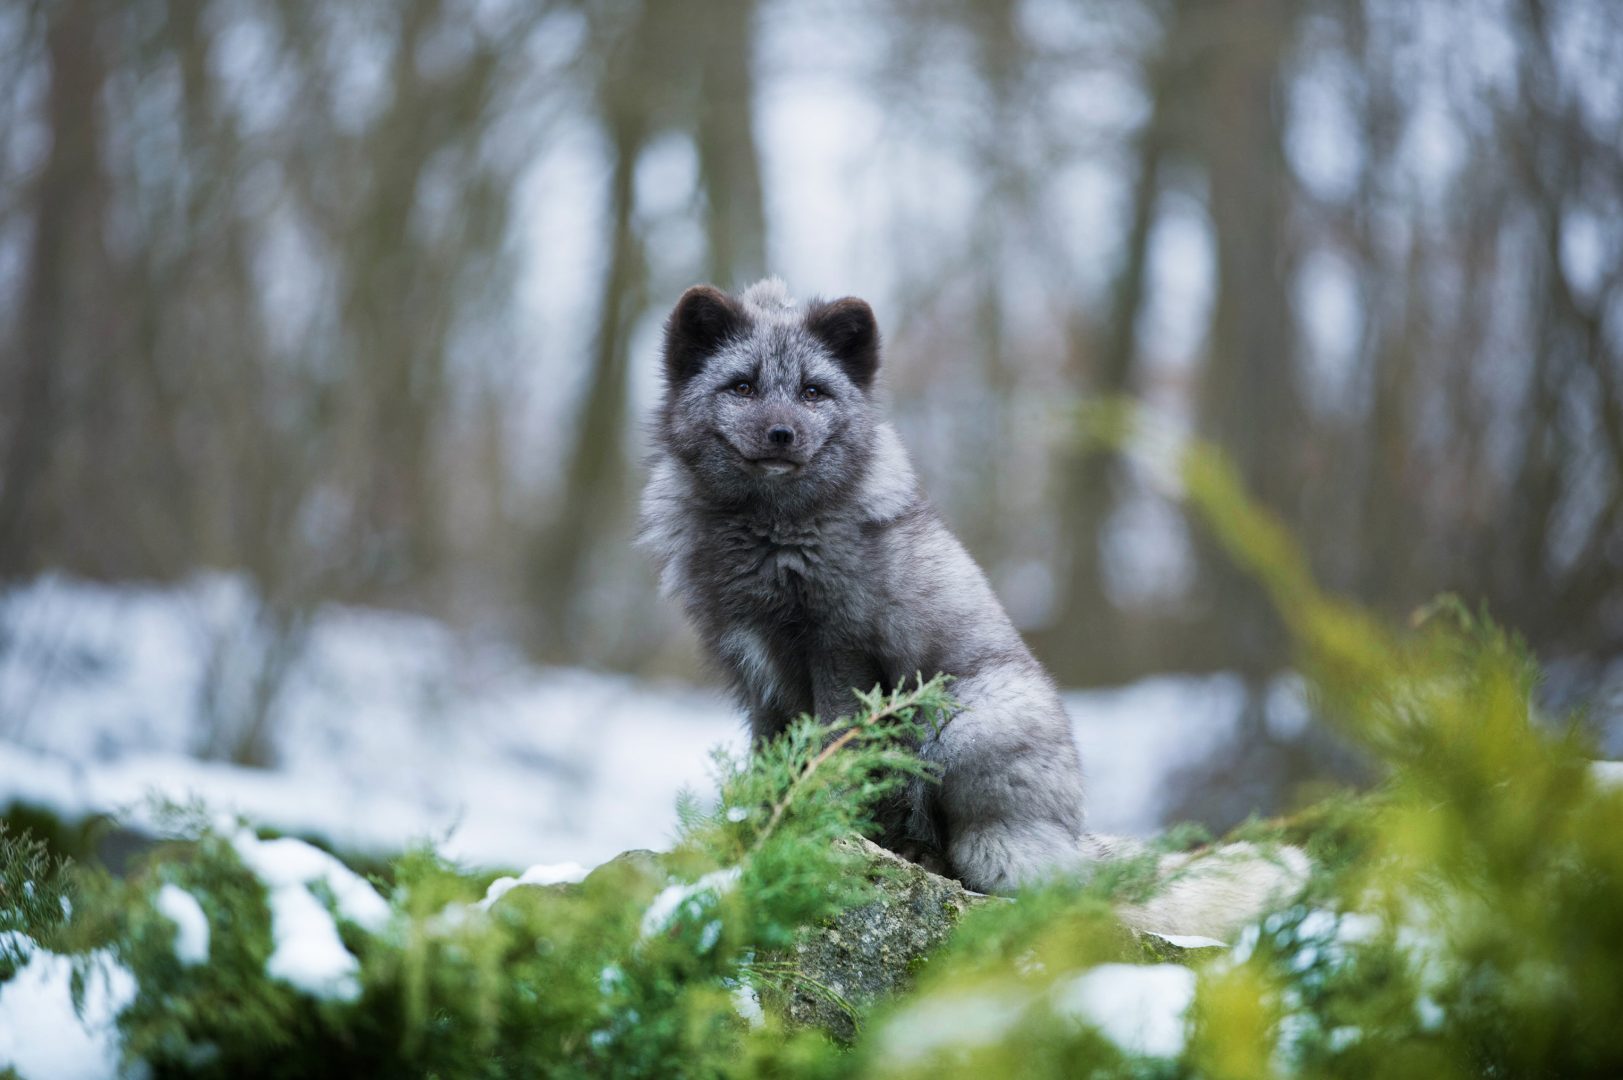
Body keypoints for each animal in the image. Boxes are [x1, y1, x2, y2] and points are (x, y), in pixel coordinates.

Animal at [640, 278, 1304, 939]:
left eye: (811, 392)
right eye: (743, 386)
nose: (783, 434)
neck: (769, 533)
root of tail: (1071, 839)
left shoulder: (840, 653)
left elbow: (837, 758)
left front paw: (815, 829)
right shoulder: (757, 674)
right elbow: (771, 764)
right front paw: (760, 830)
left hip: (957, 726)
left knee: (1000, 869)